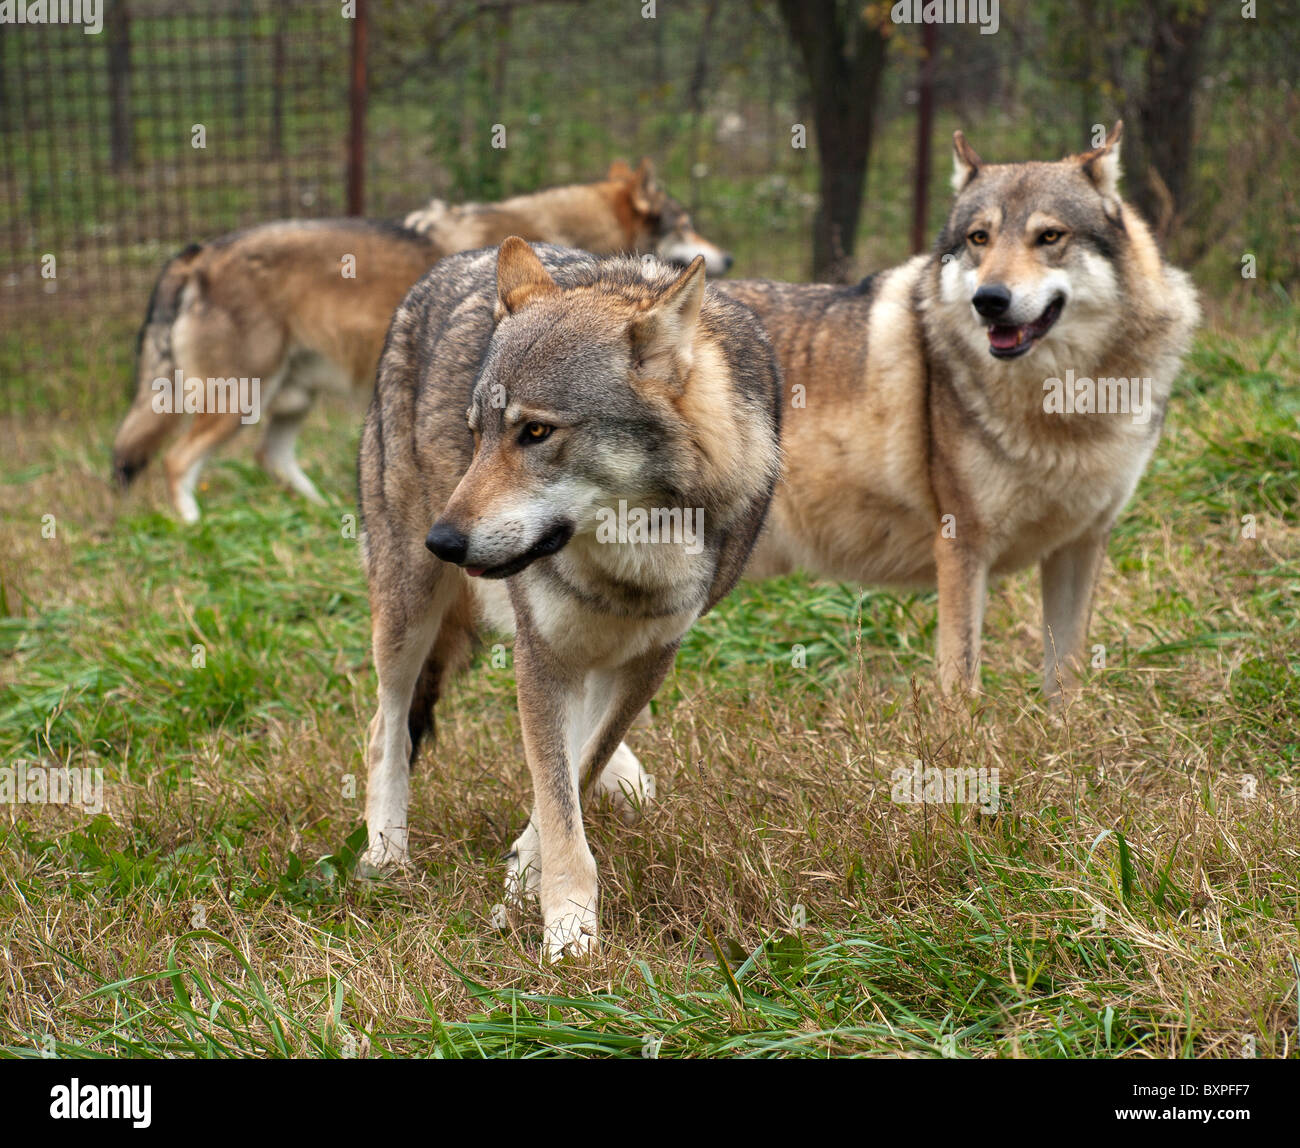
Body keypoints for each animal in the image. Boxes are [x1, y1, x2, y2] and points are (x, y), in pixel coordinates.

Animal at [111, 160, 731, 524]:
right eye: (686, 223)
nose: (725, 257)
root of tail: (199, 252)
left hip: (288, 399)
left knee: (271, 457)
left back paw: (328, 511)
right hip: (239, 399)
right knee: (177, 461)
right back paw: (195, 529)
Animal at [357, 239, 781, 960]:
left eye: (535, 432)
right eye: (476, 433)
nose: (443, 540)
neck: (633, 555)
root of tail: (451, 261)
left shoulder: (650, 658)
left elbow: (578, 769)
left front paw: (526, 881)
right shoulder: (543, 653)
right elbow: (558, 795)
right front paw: (567, 926)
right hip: (408, 611)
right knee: (385, 727)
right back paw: (385, 854)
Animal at [723, 123, 1199, 696]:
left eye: (1049, 236)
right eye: (979, 238)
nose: (989, 300)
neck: (1060, 406)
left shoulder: (1080, 545)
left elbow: (1066, 678)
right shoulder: (962, 546)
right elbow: (961, 685)